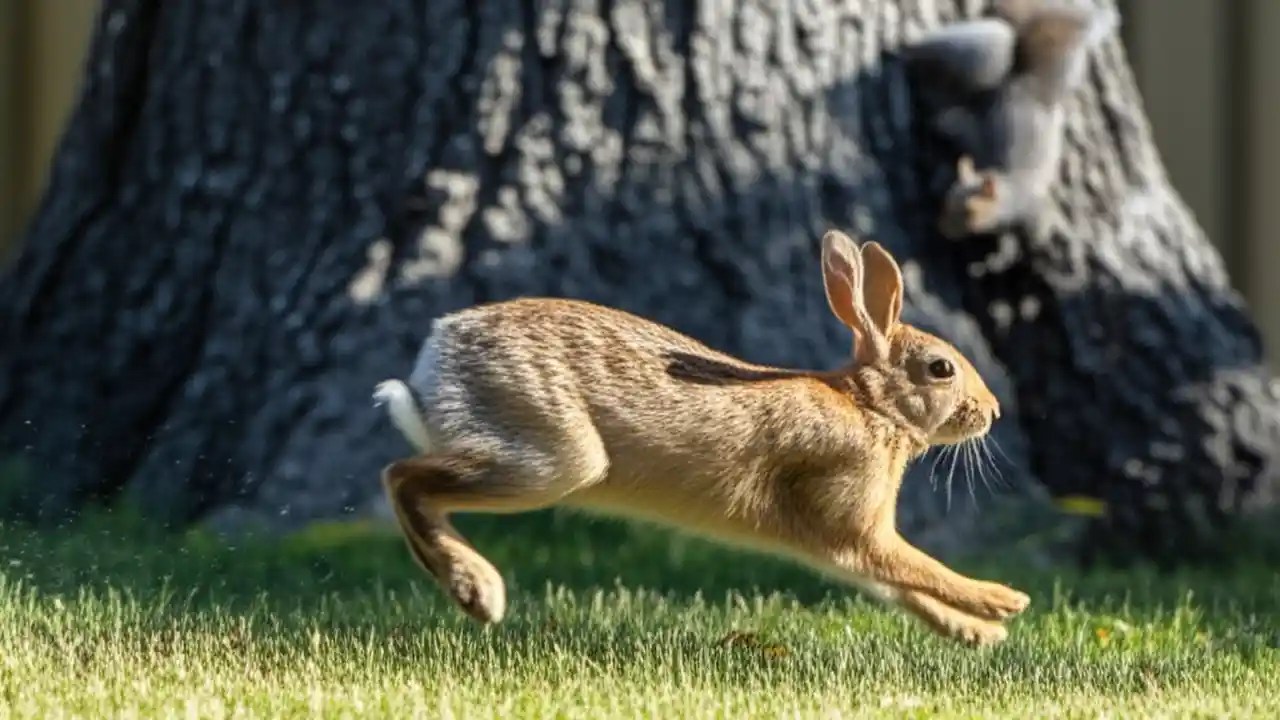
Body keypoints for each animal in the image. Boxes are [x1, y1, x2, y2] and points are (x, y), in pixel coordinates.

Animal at [373, 229, 1029, 646]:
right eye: (941, 368)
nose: (992, 412)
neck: (869, 406)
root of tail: (438, 356)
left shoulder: (839, 543)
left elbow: (899, 585)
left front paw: (981, 635)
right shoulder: (851, 513)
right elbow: (918, 567)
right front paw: (1004, 602)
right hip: (554, 458)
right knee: (401, 477)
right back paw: (479, 591)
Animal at [901, 0, 1120, 238]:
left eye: (970, 212)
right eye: (948, 199)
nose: (942, 228)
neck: (1009, 188)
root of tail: (1029, 88)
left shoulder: (1029, 204)